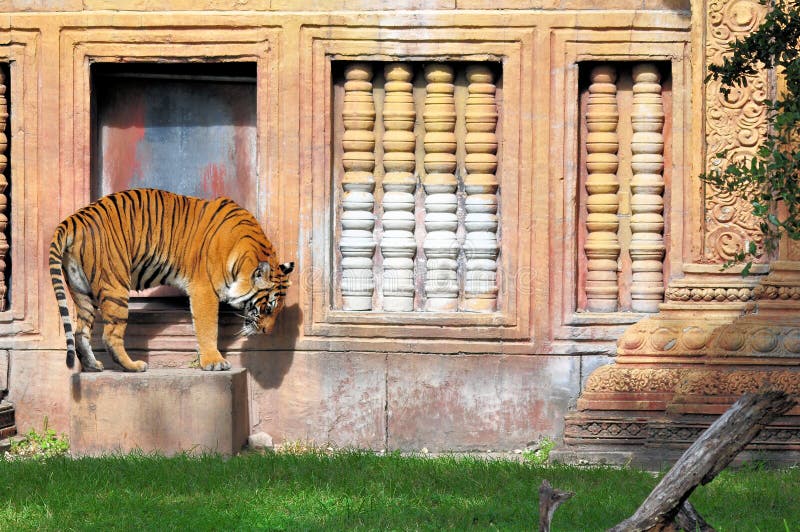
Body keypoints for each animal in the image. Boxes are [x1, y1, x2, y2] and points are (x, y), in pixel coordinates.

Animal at [49, 188, 294, 372]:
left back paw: (93, 366)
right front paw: (214, 362)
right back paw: (134, 366)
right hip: (115, 285)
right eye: (267, 308)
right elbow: (207, 327)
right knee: (110, 336)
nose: (266, 332)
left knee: (81, 332)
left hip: (81, 290)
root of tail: (76, 218)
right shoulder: (204, 290)